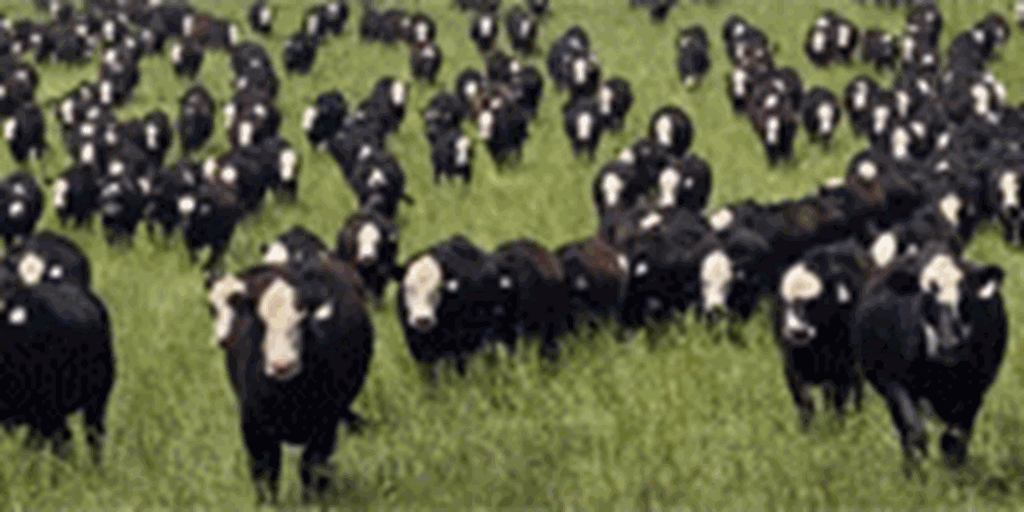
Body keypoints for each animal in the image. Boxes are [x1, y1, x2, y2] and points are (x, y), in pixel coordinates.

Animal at [210, 262, 373, 503]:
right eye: (261, 321)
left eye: (302, 320)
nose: (282, 365)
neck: (287, 394)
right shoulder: (253, 426)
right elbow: (265, 471)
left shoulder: (324, 426)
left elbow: (312, 468)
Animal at [773, 238, 870, 429]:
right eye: (784, 302)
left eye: (813, 302)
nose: (798, 332)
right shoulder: (792, 367)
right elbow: (806, 402)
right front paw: (807, 431)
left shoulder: (844, 367)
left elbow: (839, 401)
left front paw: (838, 429)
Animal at [852, 244, 1008, 474]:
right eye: (927, 298)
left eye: (966, 298)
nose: (950, 344)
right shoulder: (895, 384)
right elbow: (915, 433)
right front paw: (918, 476)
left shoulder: (974, 390)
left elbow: (954, 439)